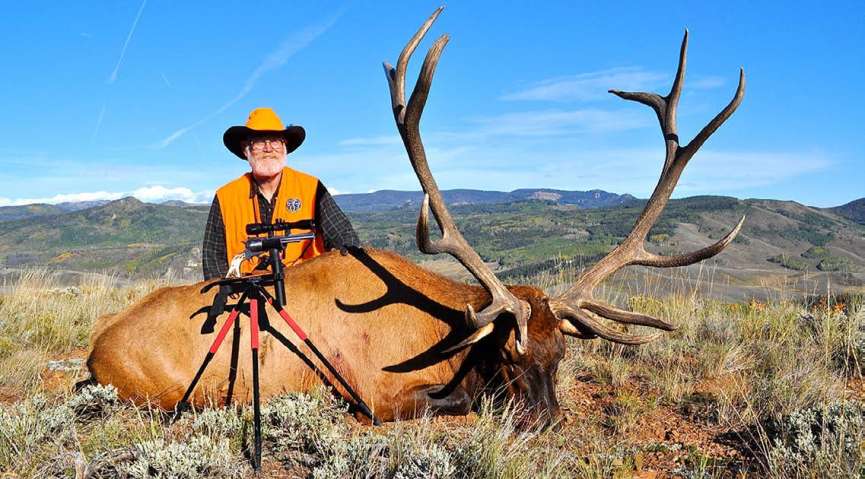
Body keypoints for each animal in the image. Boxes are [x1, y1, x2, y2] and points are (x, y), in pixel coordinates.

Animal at [85, 8, 745, 428]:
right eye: (509, 355)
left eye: (561, 355)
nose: (547, 419)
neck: (448, 340)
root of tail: (92, 354)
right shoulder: (376, 396)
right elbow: (451, 401)